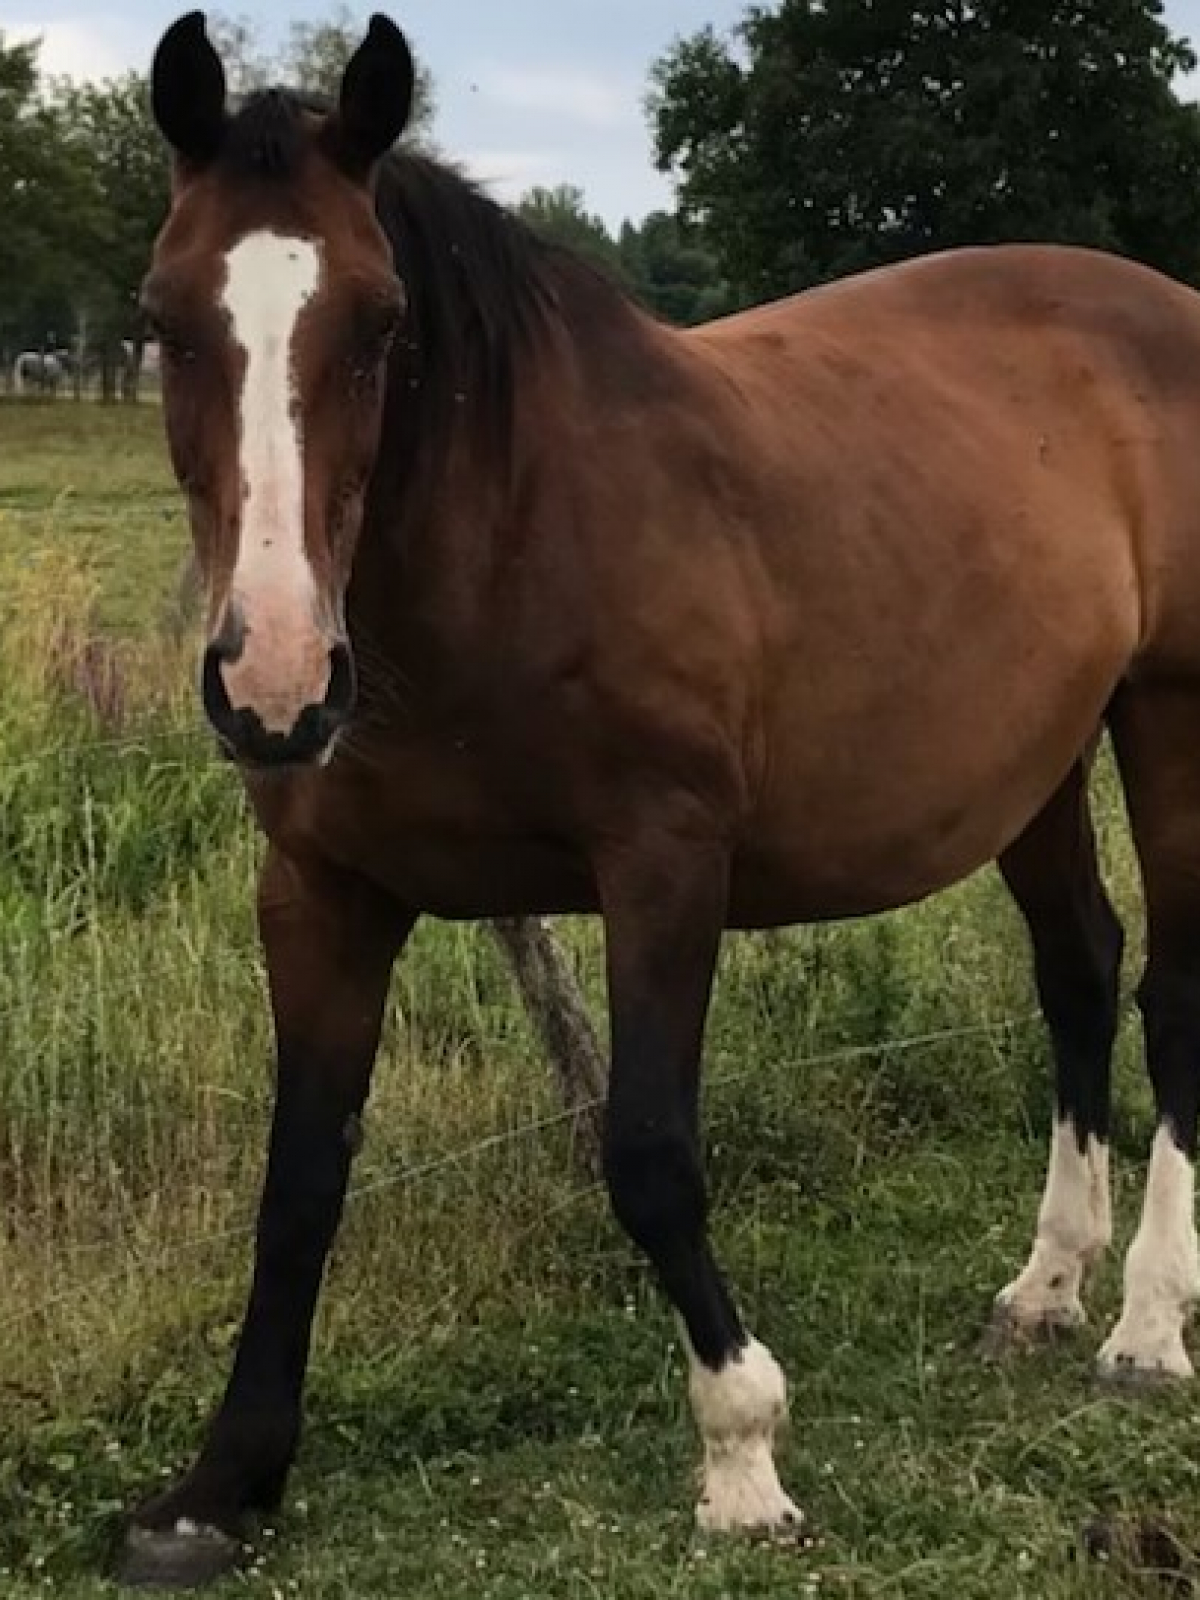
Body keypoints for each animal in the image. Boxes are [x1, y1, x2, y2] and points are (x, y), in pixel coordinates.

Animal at [121, 8, 1200, 1585]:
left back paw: (1147, 1322)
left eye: (380, 322)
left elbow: (648, 1151)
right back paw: (1048, 1286)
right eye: (163, 318)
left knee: (1170, 988)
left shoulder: (665, 864)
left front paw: (743, 1450)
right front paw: (220, 1484)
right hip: (1038, 754)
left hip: (1168, 713)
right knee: (1080, 968)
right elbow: (300, 1178)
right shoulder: (324, 895)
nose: (275, 681)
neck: (506, 540)